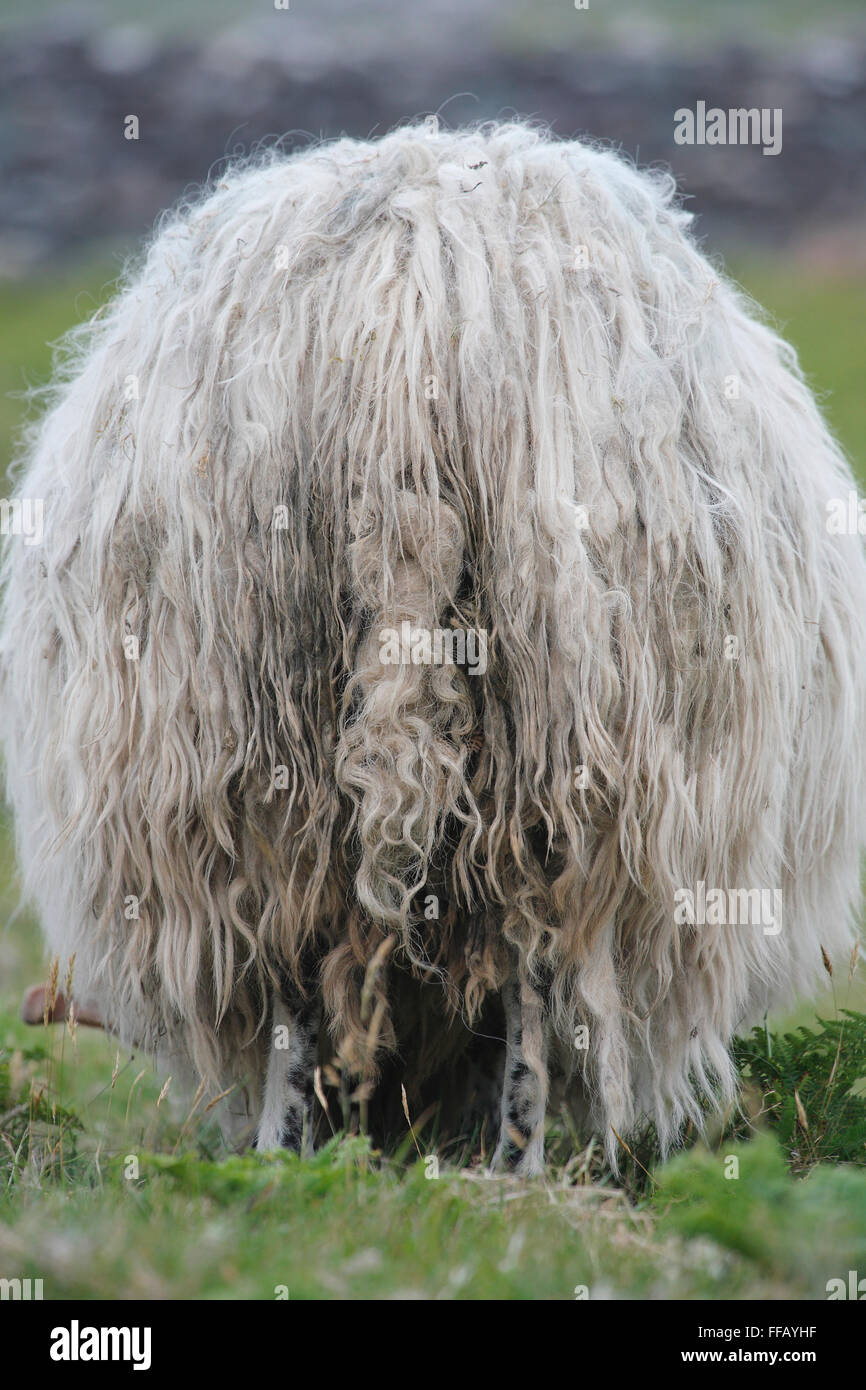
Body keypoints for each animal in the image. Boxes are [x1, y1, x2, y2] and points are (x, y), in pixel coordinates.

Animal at [3, 120, 865, 1173]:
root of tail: (408, 289)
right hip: (554, 745)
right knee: (527, 963)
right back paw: (511, 1166)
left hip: (258, 742)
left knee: (305, 961)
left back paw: (289, 1154)